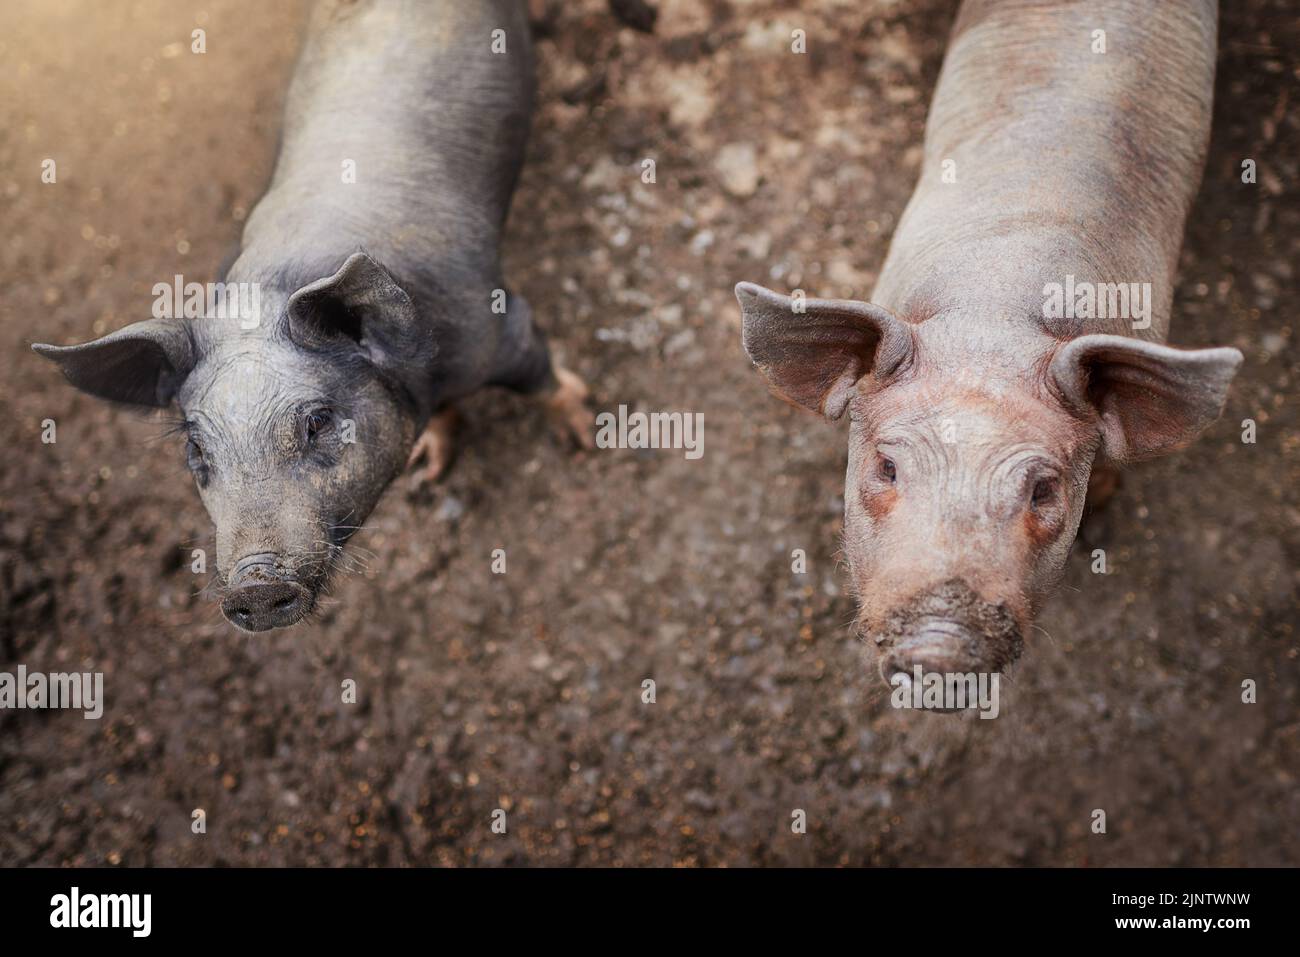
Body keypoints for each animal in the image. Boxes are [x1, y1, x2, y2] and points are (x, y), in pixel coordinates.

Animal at [33, 0, 590, 632]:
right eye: (196, 451)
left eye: (318, 422)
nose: (254, 586)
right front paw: (429, 470)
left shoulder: (499, 325)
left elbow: (542, 377)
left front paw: (581, 435)